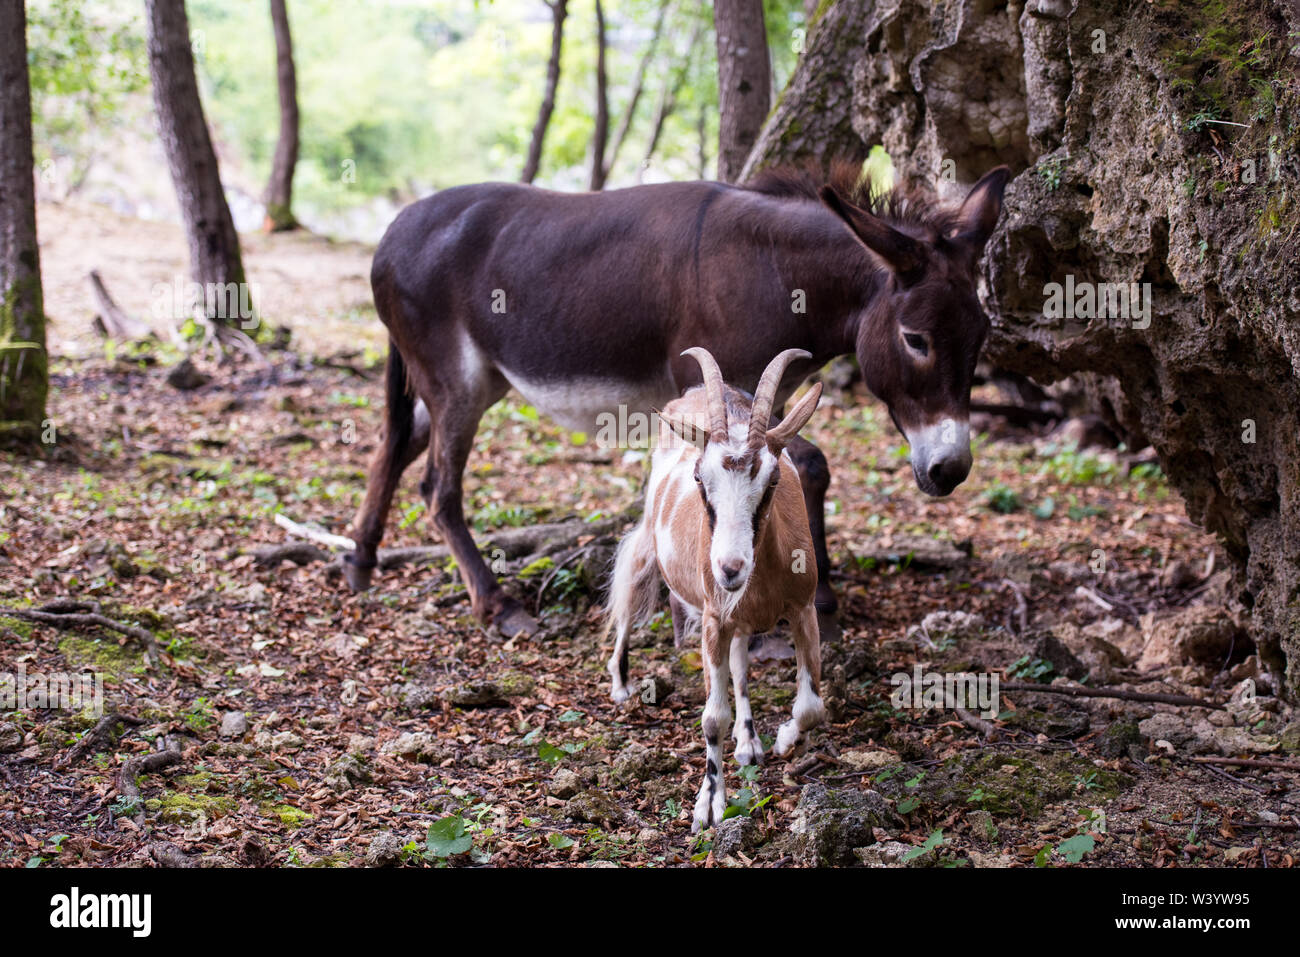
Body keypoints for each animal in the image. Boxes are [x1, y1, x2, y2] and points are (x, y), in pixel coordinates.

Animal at [604, 346, 826, 832]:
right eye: (699, 478)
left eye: (773, 481)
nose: (728, 569)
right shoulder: (712, 619)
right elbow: (711, 718)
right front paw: (709, 805)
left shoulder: (803, 609)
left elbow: (811, 707)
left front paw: (784, 741)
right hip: (650, 544)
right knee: (630, 590)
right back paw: (621, 683)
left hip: (739, 620)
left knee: (740, 669)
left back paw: (749, 742)